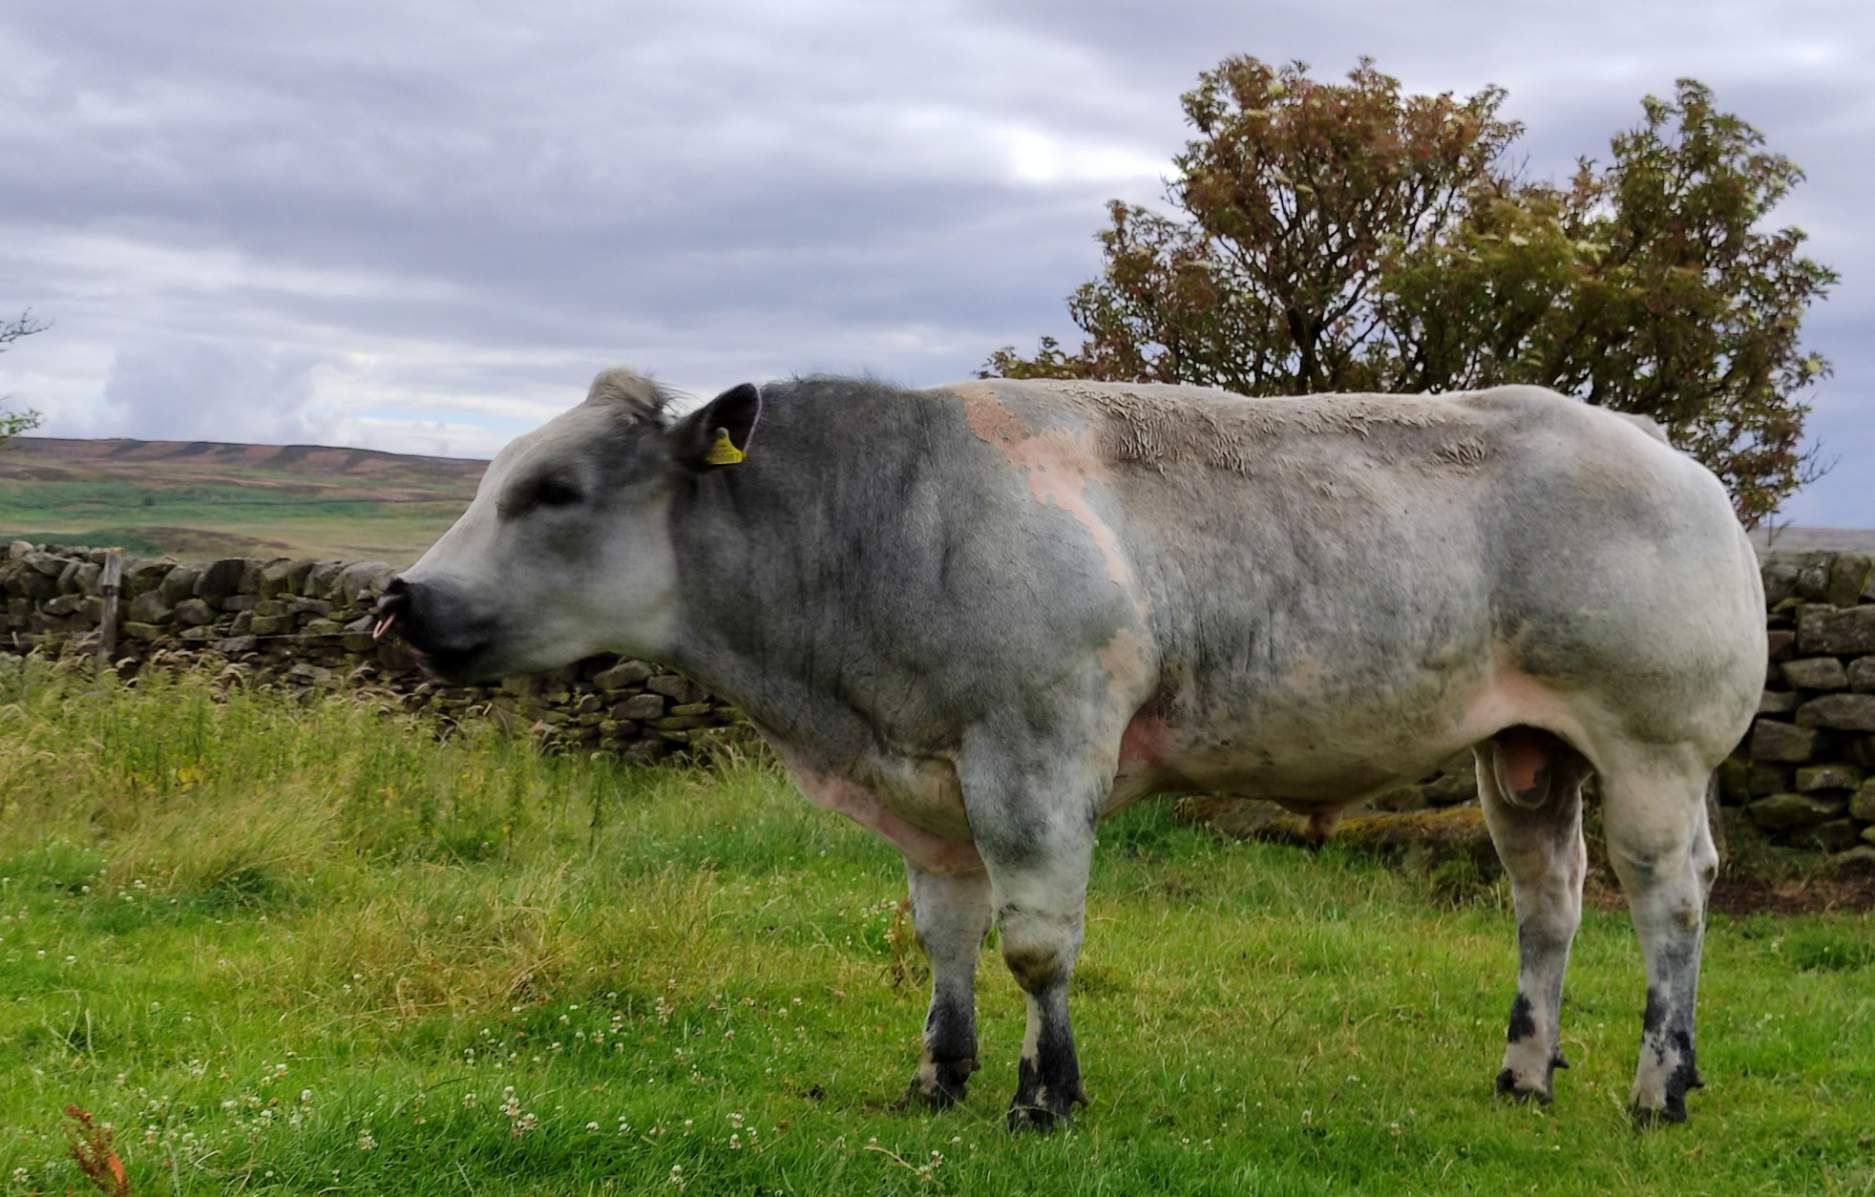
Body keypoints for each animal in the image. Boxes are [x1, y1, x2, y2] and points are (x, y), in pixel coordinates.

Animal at [377, 367, 1764, 1130]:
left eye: (555, 492)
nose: (399, 597)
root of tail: (1665, 454)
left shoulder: (1036, 750)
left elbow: (1037, 942)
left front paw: (1045, 1096)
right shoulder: (926, 780)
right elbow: (944, 935)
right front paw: (938, 1077)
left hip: (1657, 746)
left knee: (1670, 899)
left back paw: (1660, 1085)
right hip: (1526, 751)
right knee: (1549, 901)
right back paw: (1525, 1072)